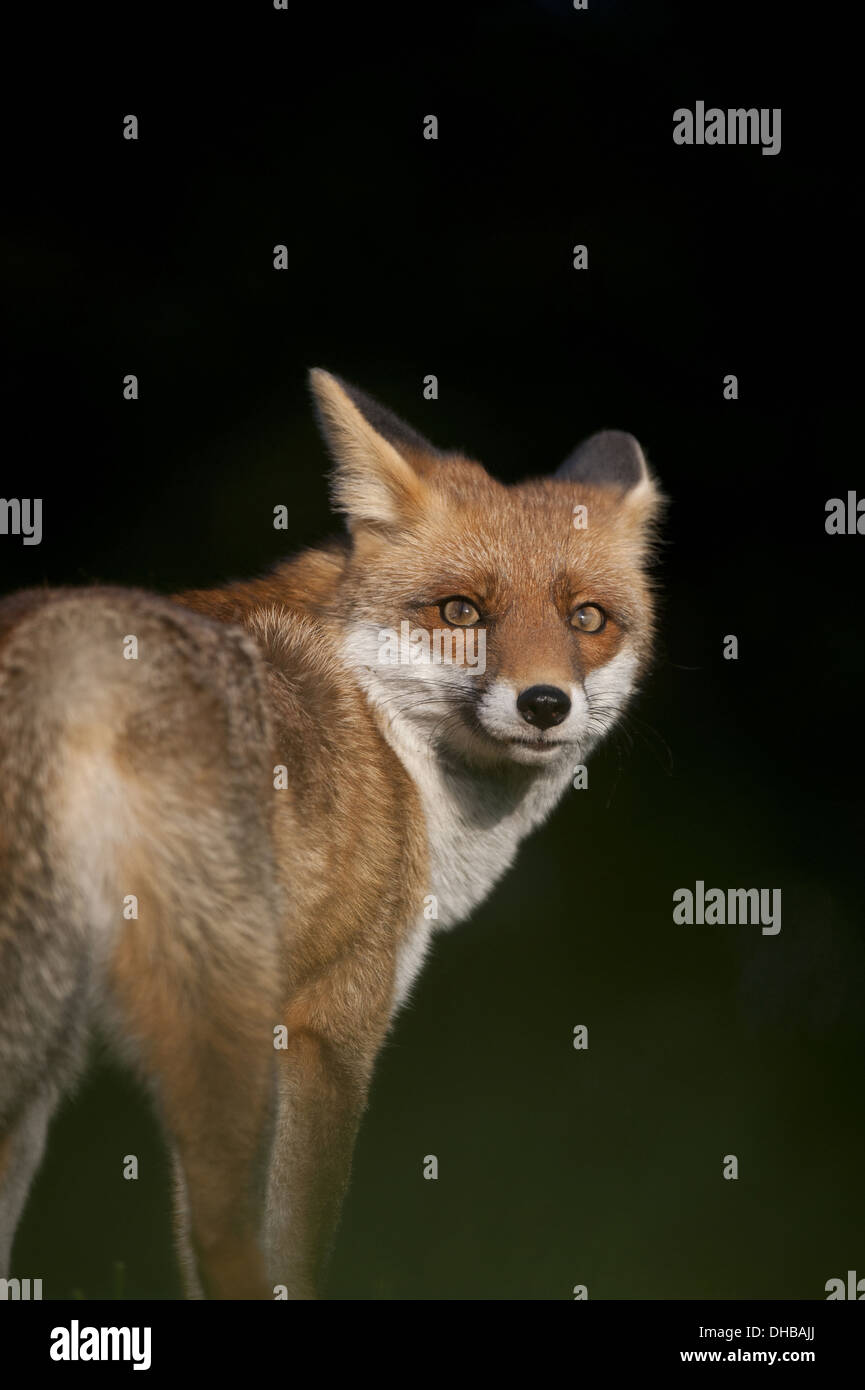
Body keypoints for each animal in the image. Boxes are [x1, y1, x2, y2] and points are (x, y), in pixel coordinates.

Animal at [0, 370, 662, 1300]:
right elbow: (297, 1248)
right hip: (214, 1036)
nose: (543, 704)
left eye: (587, 619)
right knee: (225, 1242)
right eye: (461, 609)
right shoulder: (332, 1020)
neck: (388, 736)